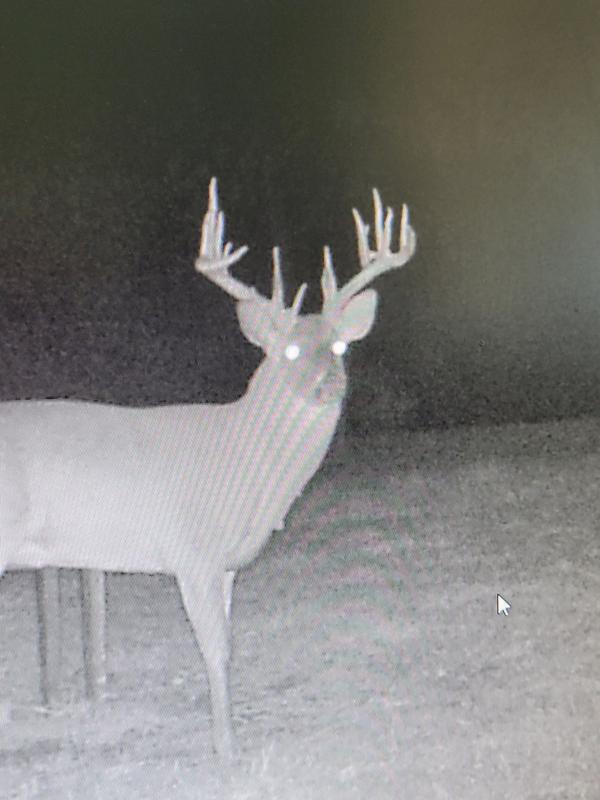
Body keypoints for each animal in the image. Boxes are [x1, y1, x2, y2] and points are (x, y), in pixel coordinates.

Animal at [0, 178, 416, 762]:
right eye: (289, 351)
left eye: (338, 346)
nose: (329, 385)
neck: (240, 462)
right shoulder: (192, 552)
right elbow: (214, 651)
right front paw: (227, 750)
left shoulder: (225, 566)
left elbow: (228, 646)